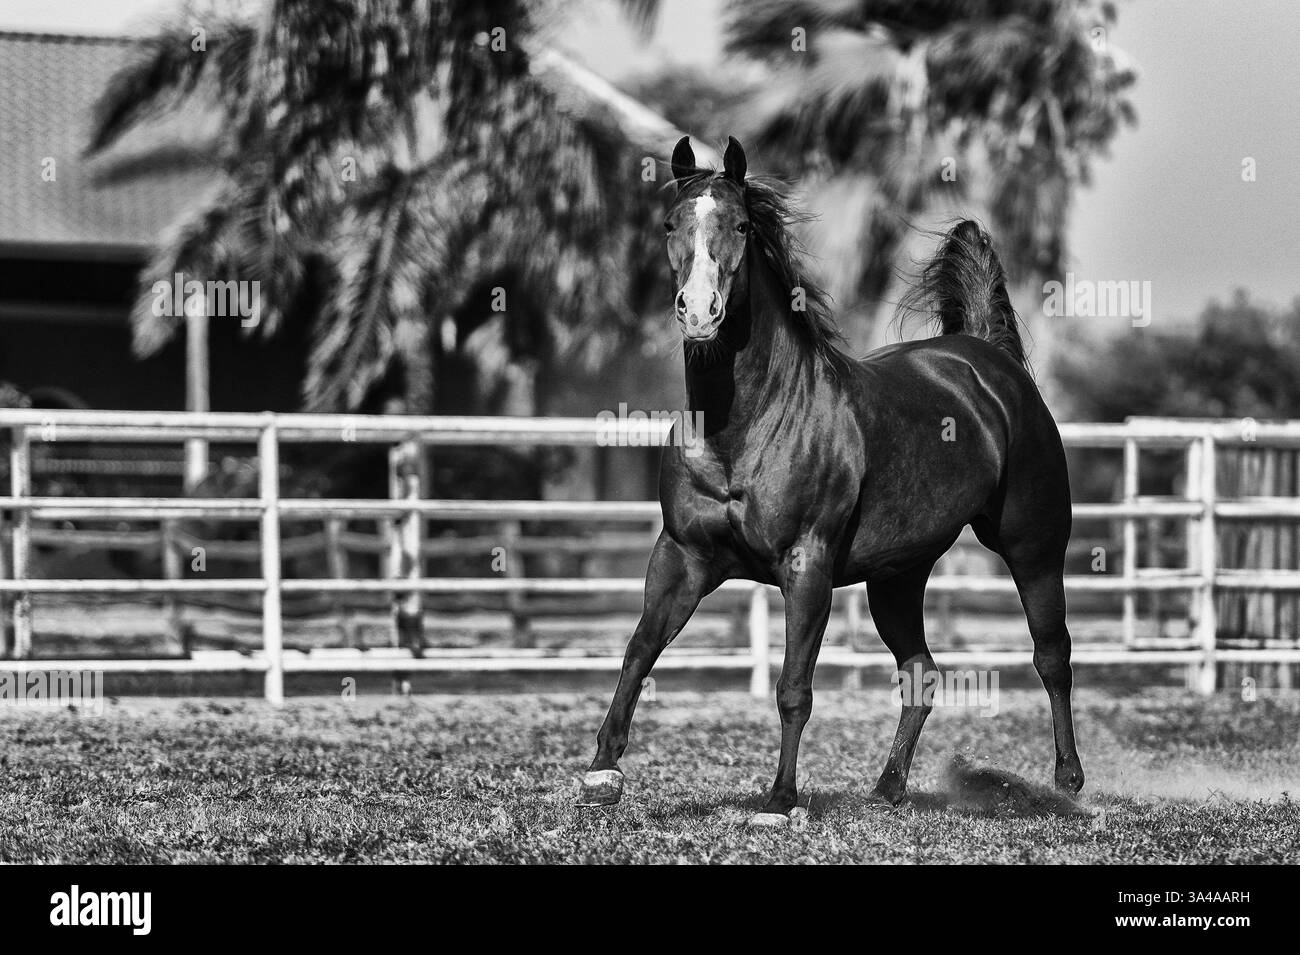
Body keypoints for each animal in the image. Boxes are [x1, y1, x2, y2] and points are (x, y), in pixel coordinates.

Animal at [577, 136, 1082, 826]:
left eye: (741, 225)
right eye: (671, 224)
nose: (700, 312)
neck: (746, 427)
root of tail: (989, 360)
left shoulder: (806, 563)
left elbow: (794, 687)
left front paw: (779, 801)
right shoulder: (681, 557)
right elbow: (638, 652)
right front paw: (602, 773)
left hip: (1033, 546)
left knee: (1051, 655)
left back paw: (1067, 782)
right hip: (897, 576)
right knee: (921, 672)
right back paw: (888, 787)